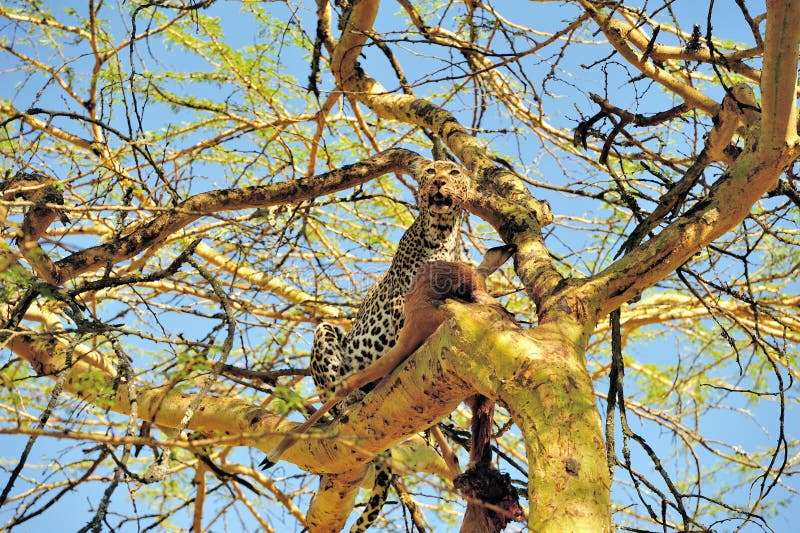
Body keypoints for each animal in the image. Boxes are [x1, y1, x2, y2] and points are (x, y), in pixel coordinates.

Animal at [310, 158, 470, 532]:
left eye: (454, 173)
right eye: (431, 172)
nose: (439, 182)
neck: (441, 234)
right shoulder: (402, 298)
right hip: (328, 337)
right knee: (336, 396)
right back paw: (349, 400)